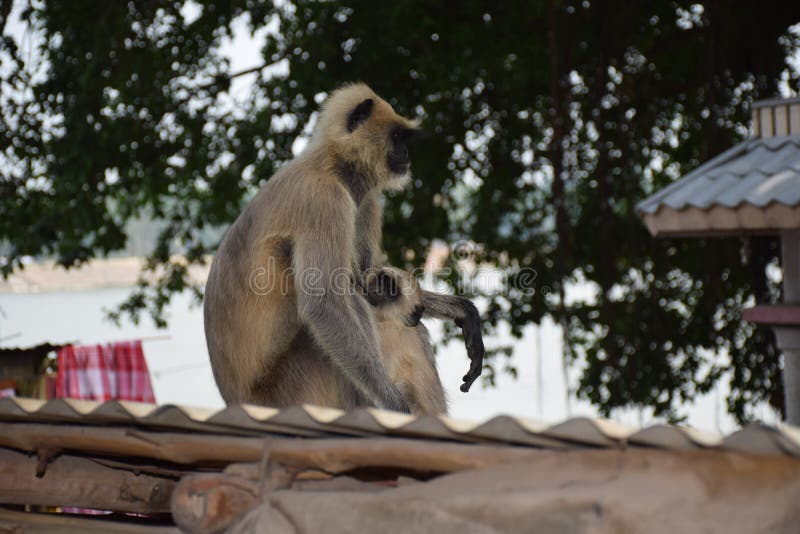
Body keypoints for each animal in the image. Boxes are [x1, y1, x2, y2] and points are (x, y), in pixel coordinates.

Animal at [204, 83, 483, 414]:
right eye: (398, 137)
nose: (406, 155)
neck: (333, 166)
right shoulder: (324, 199)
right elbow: (324, 302)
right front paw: (396, 408)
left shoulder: (366, 199)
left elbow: (367, 278)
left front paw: (464, 311)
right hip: (294, 389)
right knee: (349, 302)